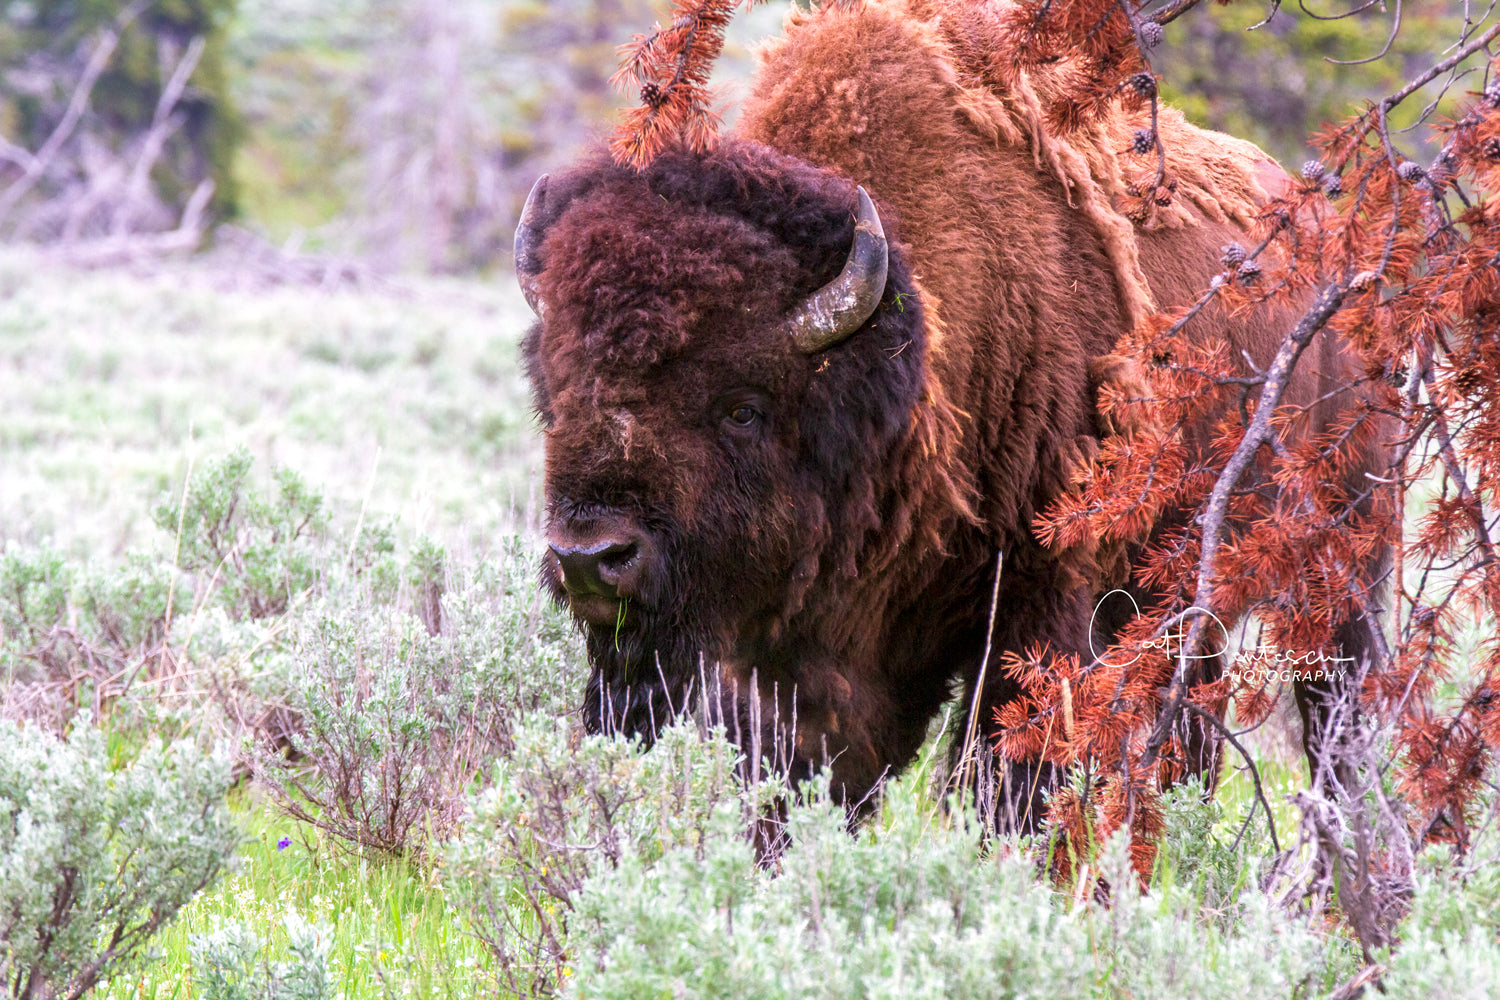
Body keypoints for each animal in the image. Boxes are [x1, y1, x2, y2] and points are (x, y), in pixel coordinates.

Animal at [514, 0, 1387, 823]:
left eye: (742, 408)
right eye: (557, 393)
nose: (592, 557)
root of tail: (1330, 230)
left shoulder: (1038, 606)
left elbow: (1009, 782)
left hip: (1345, 553)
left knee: (1337, 710)